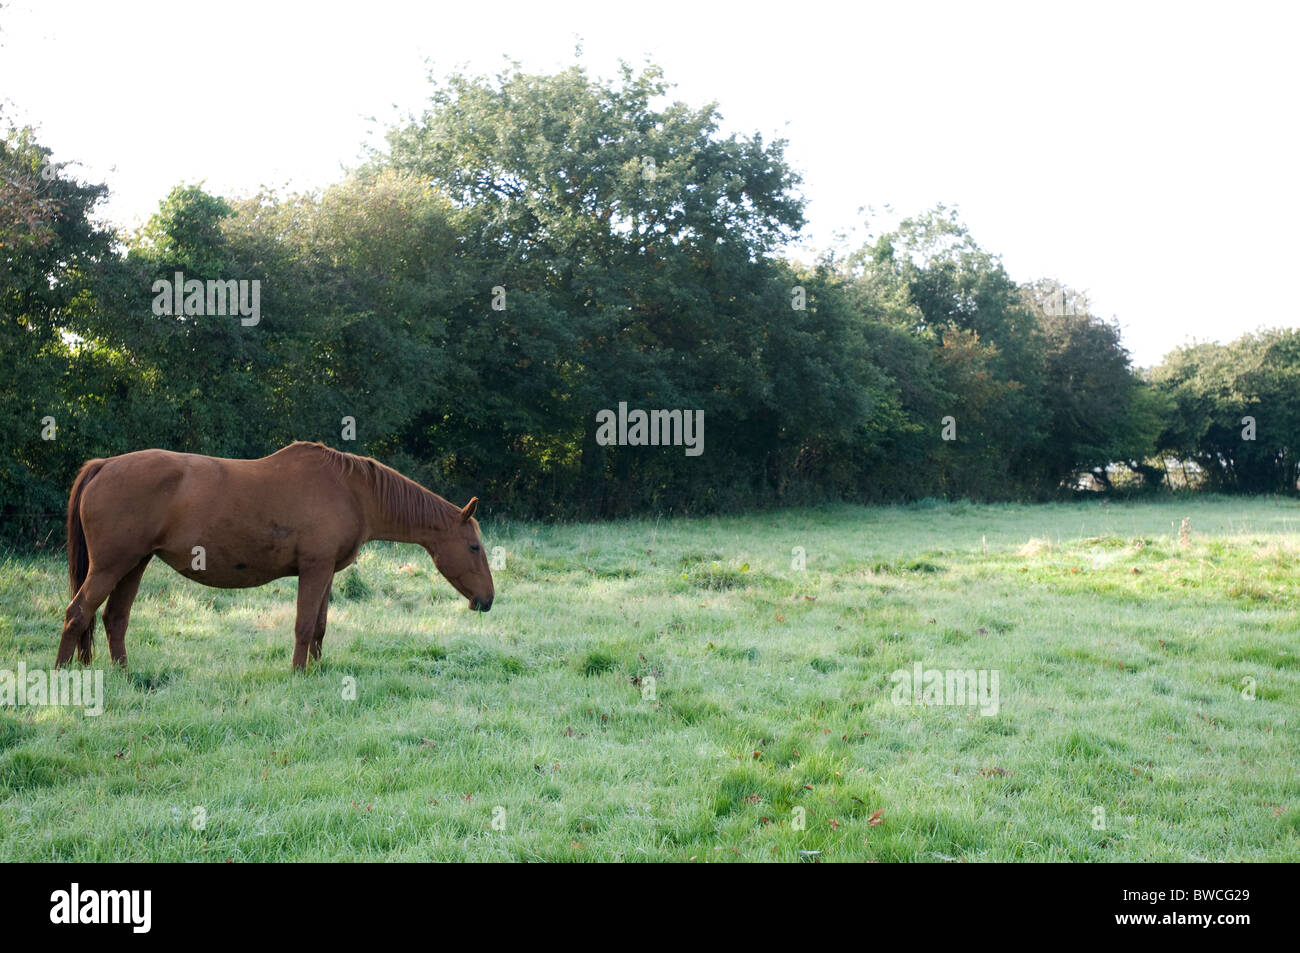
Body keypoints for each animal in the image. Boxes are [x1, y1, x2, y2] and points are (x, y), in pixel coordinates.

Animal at [55, 441, 494, 671]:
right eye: (474, 547)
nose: (487, 600)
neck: (352, 492)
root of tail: (104, 465)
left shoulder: (326, 572)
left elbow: (319, 627)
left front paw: (315, 669)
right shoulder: (314, 570)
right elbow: (303, 626)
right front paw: (299, 674)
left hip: (134, 565)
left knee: (113, 619)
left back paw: (122, 674)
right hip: (111, 566)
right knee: (78, 613)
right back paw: (62, 675)